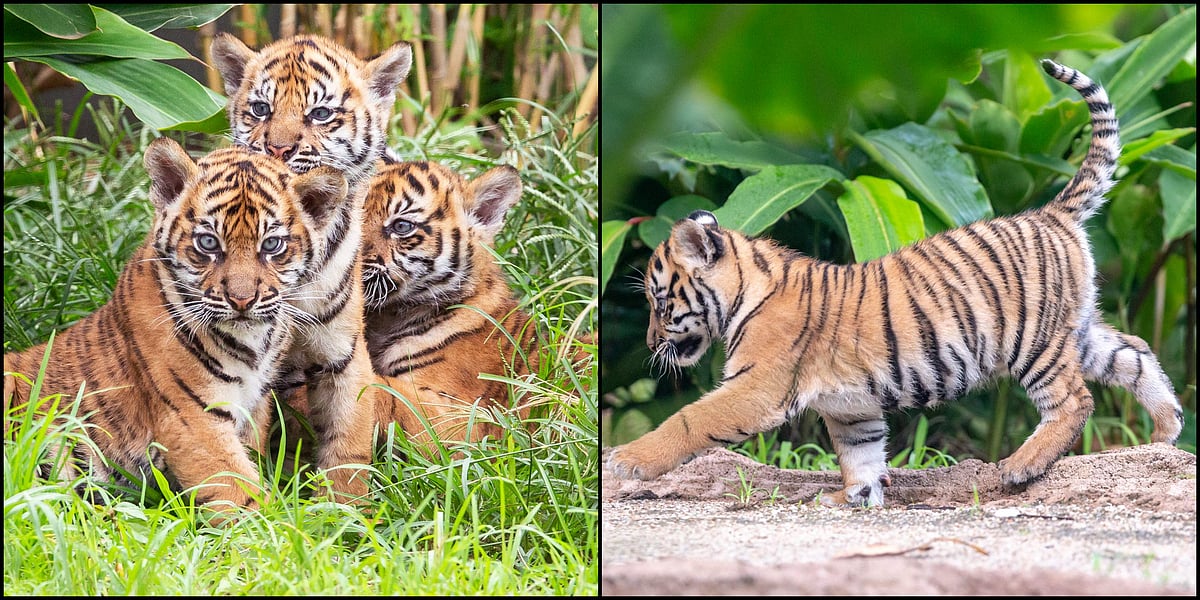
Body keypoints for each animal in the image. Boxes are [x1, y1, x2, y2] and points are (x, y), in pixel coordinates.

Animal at [3, 138, 347, 513]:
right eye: (208, 243)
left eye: (272, 245)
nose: (242, 301)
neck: (255, 341)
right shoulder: (193, 419)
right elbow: (241, 494)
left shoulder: (252, 408)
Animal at [210, 33, 412, 499]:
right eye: (260, 108)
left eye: (320, 113)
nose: (277, 148)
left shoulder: (342, 353)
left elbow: (347, 443)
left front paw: (343, 509)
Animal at [606, 59, 1185, 507]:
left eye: (659, 302)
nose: (650, 343)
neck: (744, 293)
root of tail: (1050, 211)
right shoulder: (851, 405)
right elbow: (860, 452)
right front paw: (855, 496)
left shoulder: (755, 388)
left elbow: (688, 420)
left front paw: (627, 461)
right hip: (1076, 329)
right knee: (1135, 351)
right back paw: (1163, 436)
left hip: (1033, 340)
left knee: (1074, 400)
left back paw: (1021, 465)